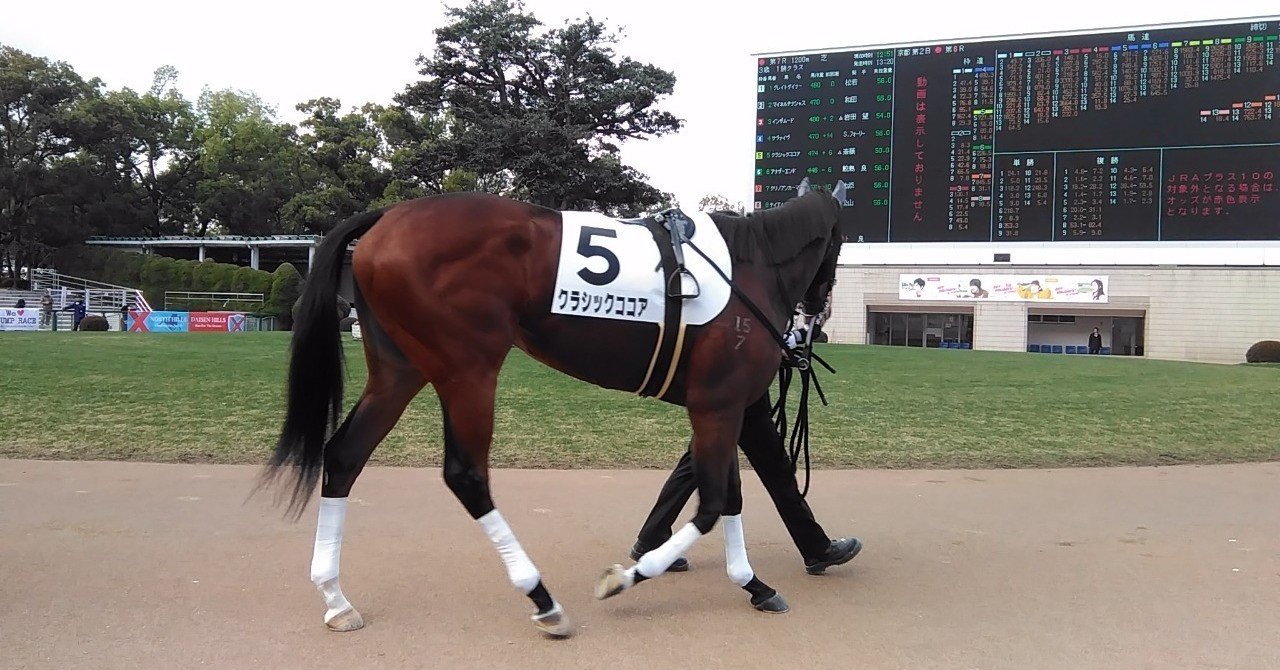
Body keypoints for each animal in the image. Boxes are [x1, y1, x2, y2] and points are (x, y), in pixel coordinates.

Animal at [259, 189, 843, 637]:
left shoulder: (729, 405)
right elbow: (714, 502)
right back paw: (542, 598)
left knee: (344, 457)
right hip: (468, 369)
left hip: (399, 371)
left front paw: (756, 582)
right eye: (839, 245)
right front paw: (627, 576)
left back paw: (336, 600)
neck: (750, 267)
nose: (817, 316)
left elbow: (733, 495)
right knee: (466, 475)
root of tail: (387, 218)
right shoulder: (719, 404)